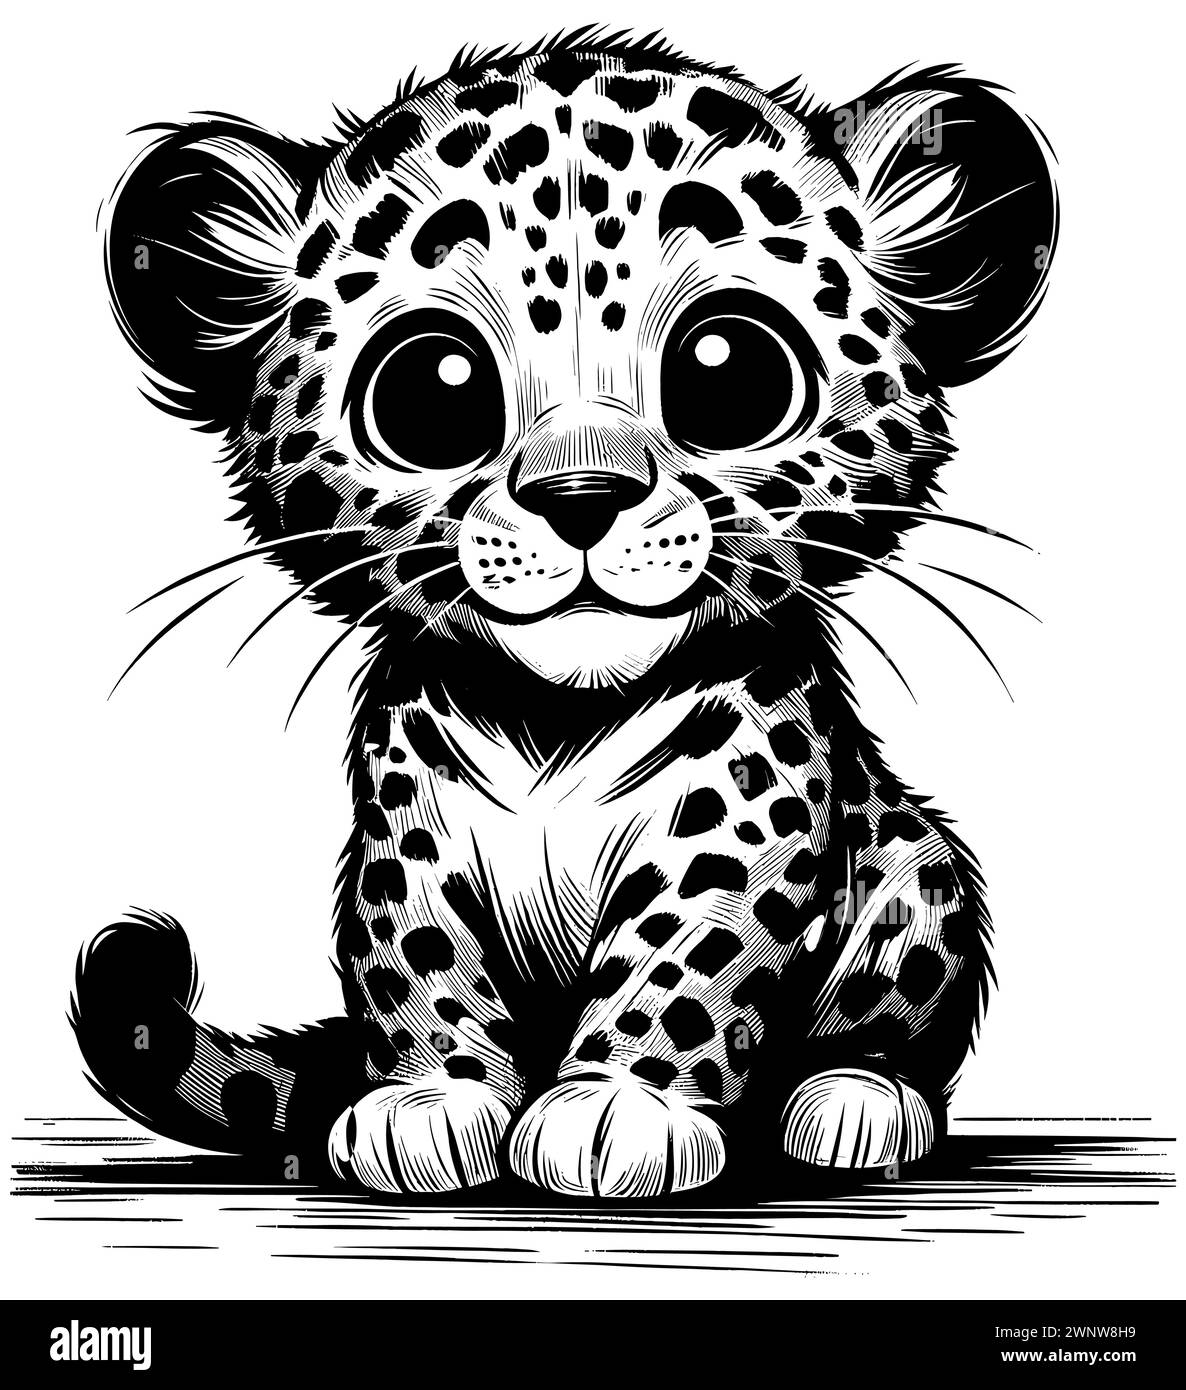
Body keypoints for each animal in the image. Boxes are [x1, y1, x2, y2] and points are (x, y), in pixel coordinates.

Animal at [73, 30, 1058, 1199]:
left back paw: (854, 1100)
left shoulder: (741, 810)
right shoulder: (410, 822)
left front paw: (617, 1110)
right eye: (434, 389)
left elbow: (685, 952)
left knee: (885, 1012)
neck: (559, 723)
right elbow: (418, 952)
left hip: (920, 869)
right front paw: (428, 1105)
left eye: (730, 370)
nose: (581, 495)